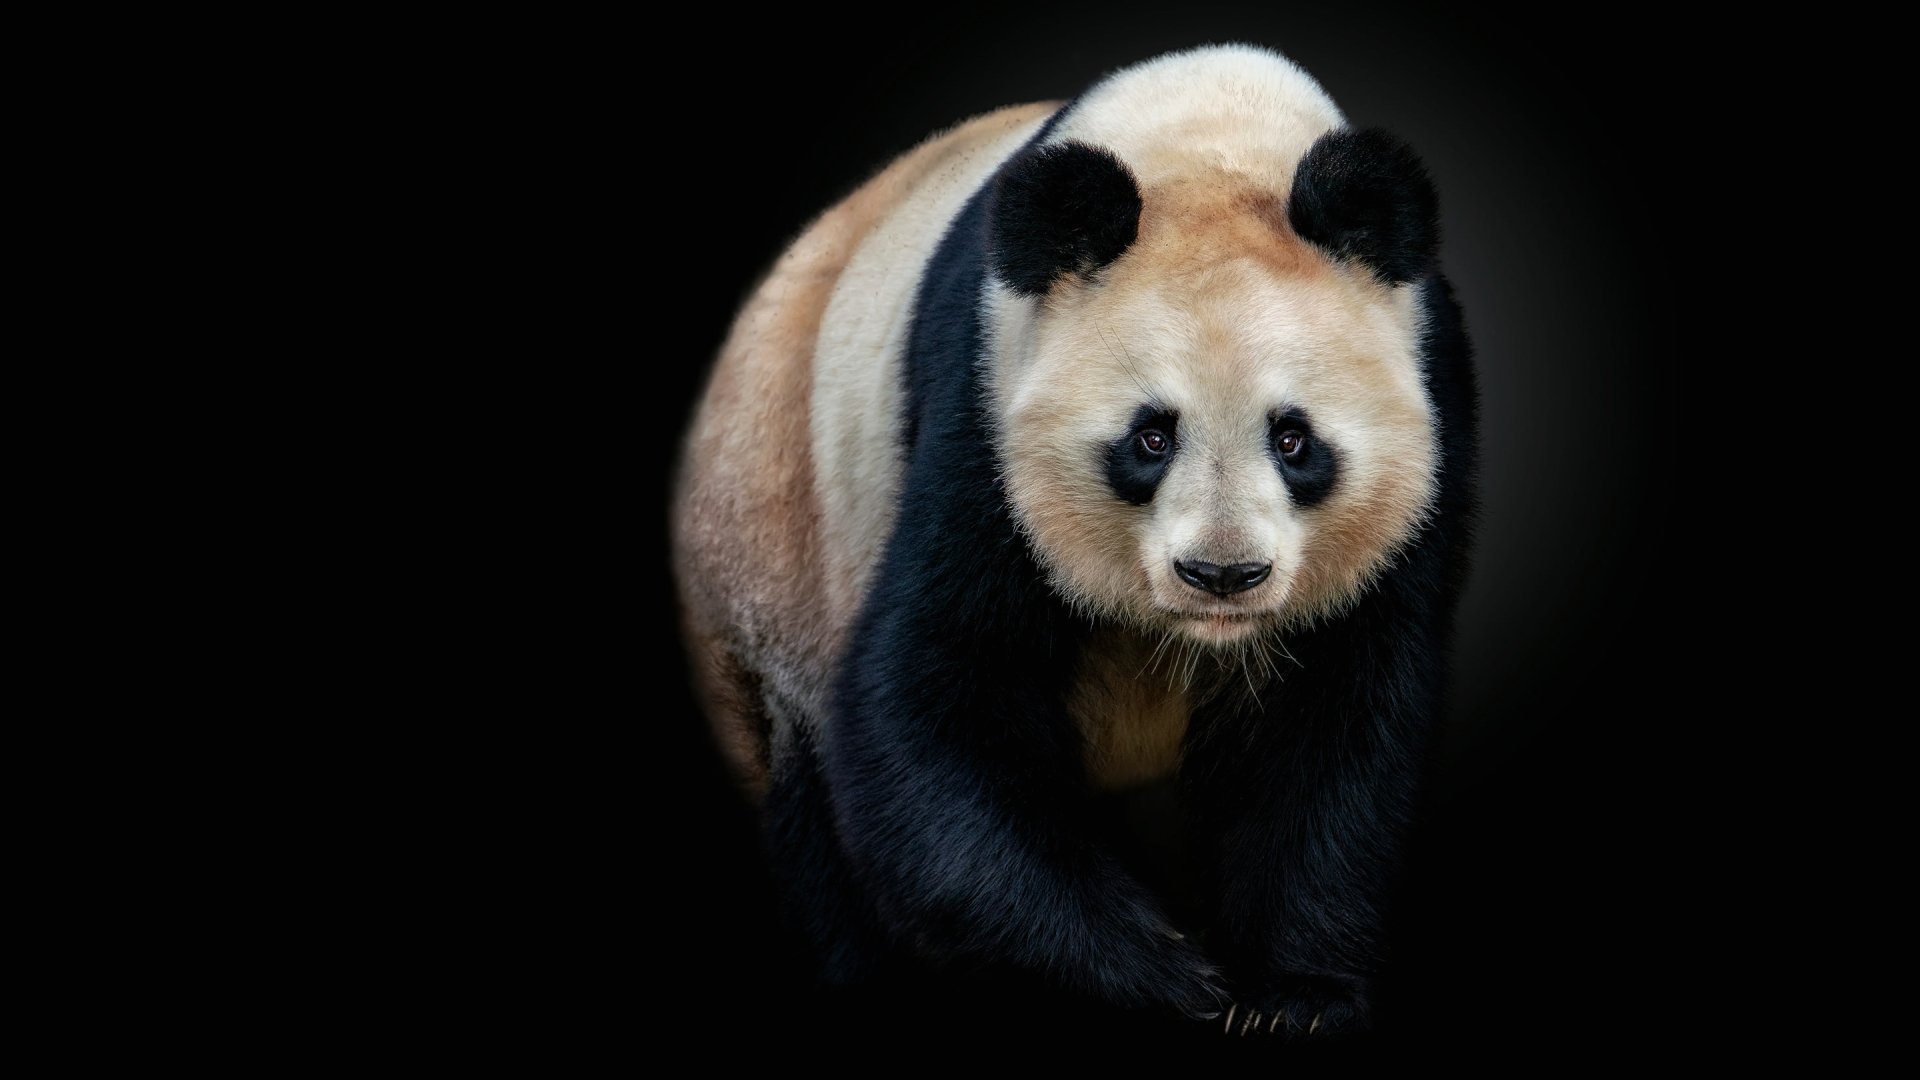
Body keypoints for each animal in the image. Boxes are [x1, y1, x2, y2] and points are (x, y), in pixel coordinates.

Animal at [673, 44, 1477, 1035]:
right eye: (1151, 437)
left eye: (1293, 440)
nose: (1222, 574)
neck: (1212, 139)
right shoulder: (982, 414)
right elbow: (934, 698)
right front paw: (1167, 979)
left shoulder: (1432, 412)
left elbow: (1334, 728)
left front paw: (1292, 996)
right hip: (769, 564)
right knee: (812, 802)